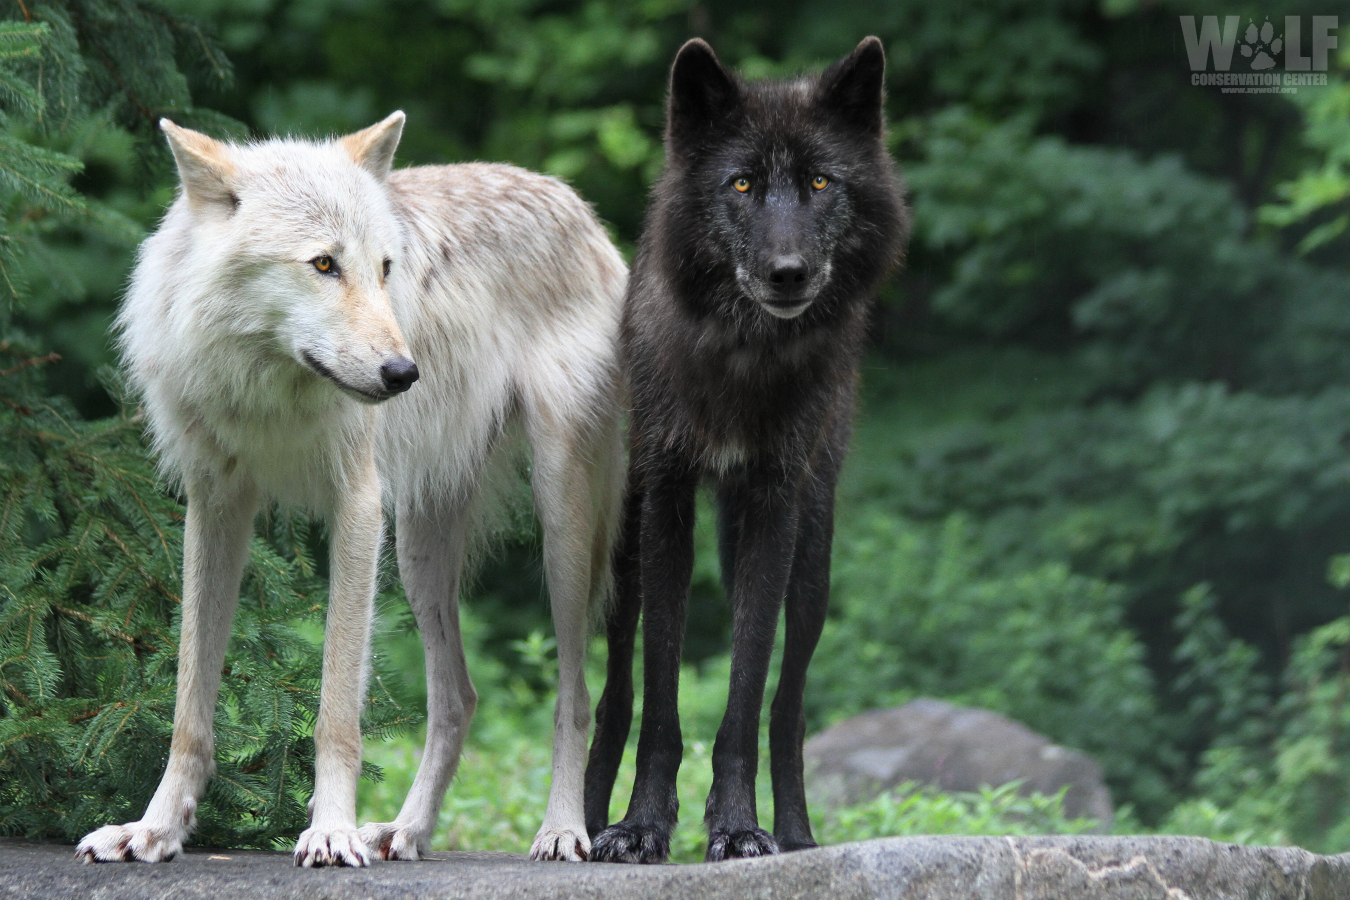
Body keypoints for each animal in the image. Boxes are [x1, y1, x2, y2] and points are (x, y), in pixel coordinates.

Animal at [75, 113, 625, 867]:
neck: (265, 389)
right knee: (459, 699)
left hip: (561, 526)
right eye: (323, 265)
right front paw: (155, 829)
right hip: (420, 550)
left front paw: (330, 830)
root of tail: (579, 208)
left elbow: (336, 709)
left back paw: (561, 829)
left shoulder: (359, 508)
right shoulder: (213, 509)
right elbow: (189, 705)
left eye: (385, 269)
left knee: (576, 694)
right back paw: (406, 832)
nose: (404, 373)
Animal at [582, 37, 910, 863]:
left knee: (787, 707)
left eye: (821, 181)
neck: (742, 359)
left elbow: (745, 696)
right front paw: (639, 826)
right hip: (627, 552)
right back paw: (586, 818)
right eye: (742, 183)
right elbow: (659, 697)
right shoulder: (667, 502)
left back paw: (797, 834)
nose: (787, 273)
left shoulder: (773, 506)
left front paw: (735, 826)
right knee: (615, 692)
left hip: (811, 559)